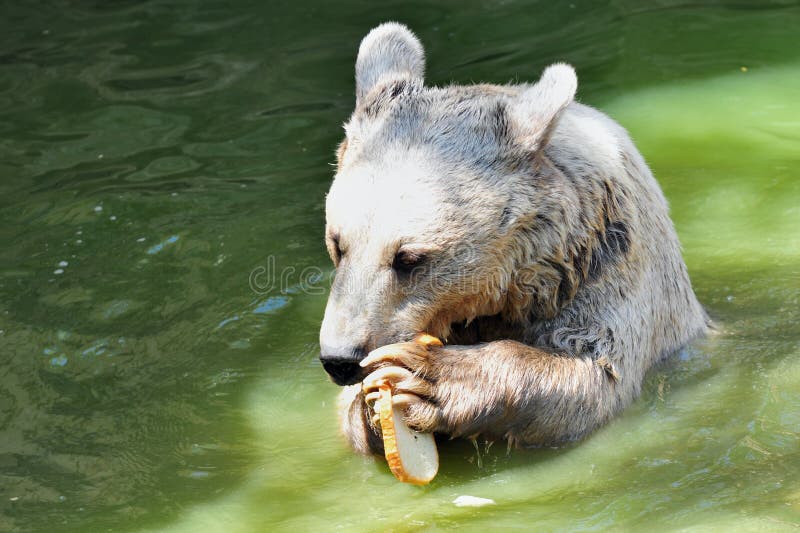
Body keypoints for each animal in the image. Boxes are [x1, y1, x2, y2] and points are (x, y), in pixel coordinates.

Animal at [319, 22, 709, 455]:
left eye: (408, 257)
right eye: (337, 244)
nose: (340, 359)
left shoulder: (600, 272)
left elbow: (591, 373)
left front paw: (423, 377)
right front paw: (369, 409)